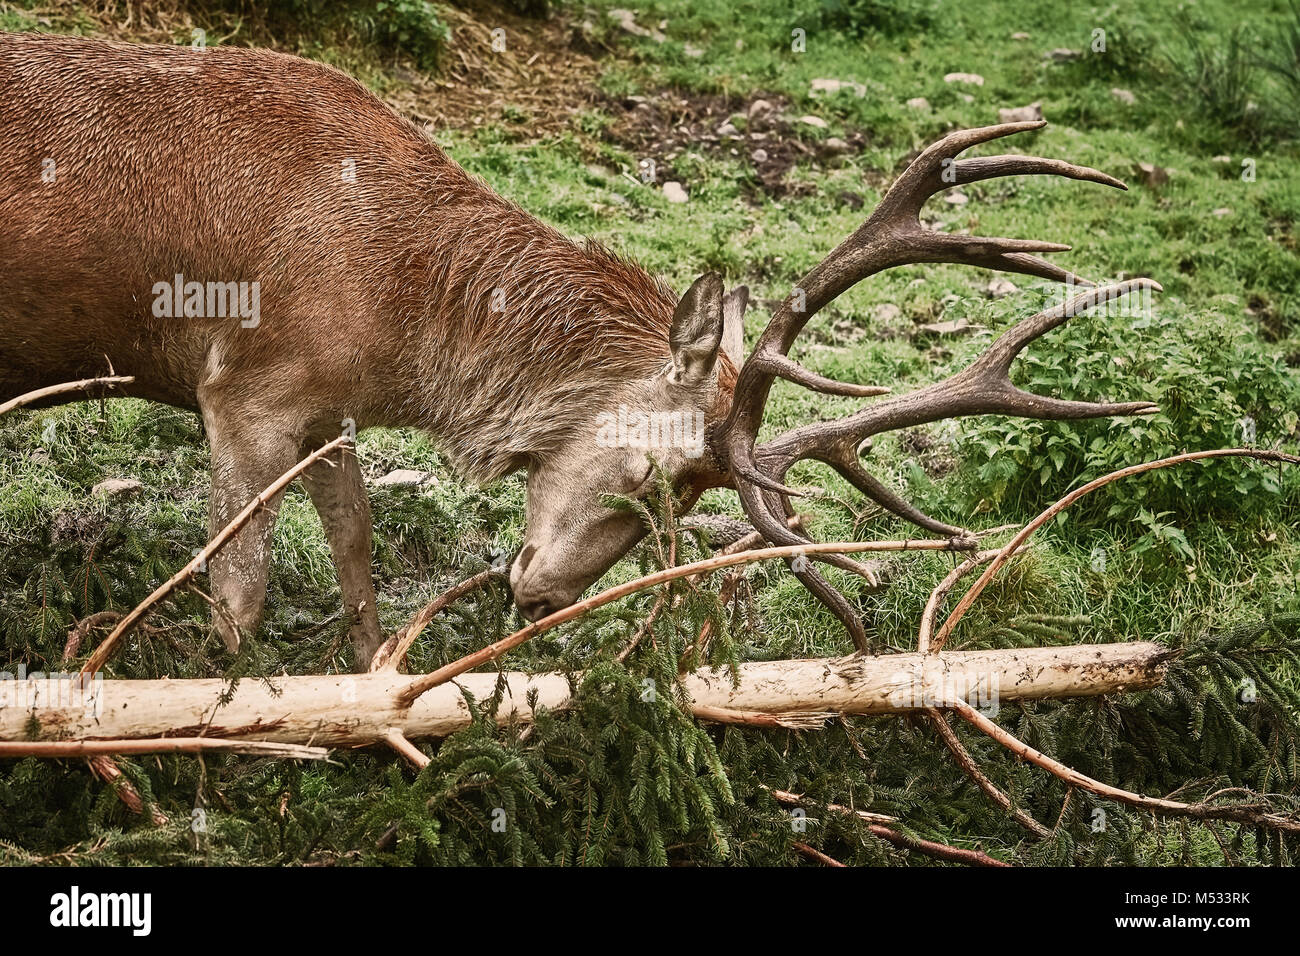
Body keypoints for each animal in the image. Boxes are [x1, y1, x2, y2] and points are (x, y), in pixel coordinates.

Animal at [0, 33, 1159, 669]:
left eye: (686, 504)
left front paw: (378, 687)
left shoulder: (327, 405)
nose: (543, 597)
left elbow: (357, 552)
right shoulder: (243, 383)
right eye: (650, 477)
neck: (391, 312)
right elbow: (236, 589)